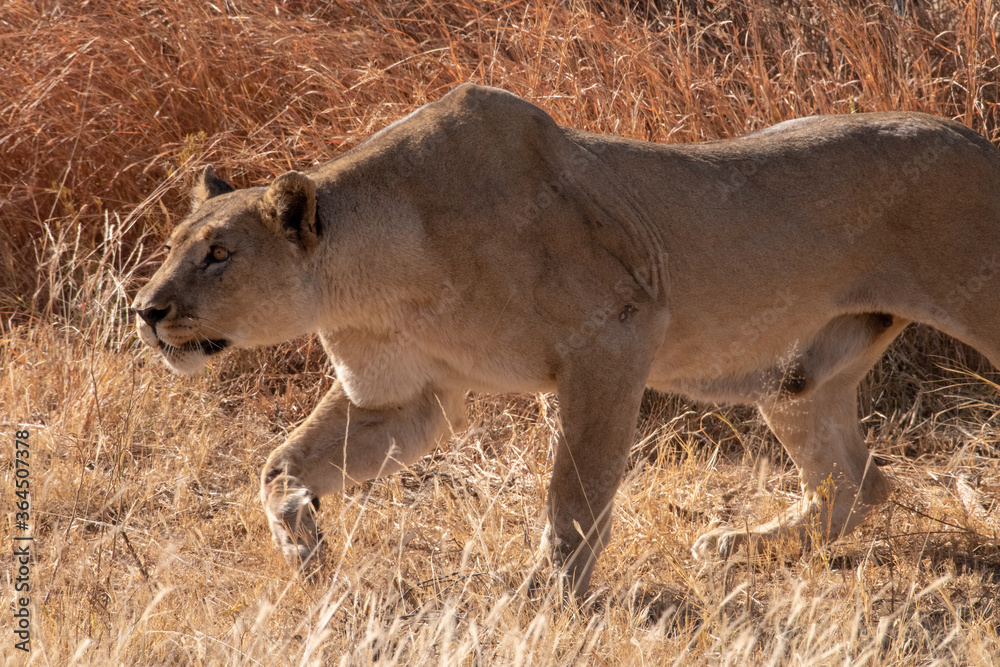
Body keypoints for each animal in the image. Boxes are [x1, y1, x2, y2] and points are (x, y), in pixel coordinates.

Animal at [132, 84, 1000, 596]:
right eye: (176, 243)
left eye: (219, 254)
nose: (144, 309)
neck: (372, 273)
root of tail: (980, 139)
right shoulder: (404, 395)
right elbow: (282, 466)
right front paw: (305, 552)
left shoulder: (614, 336)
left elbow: (575, 492)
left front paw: (554, 599)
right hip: (795, 375)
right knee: (857, 482)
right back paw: (735, 547)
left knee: (857, 479)